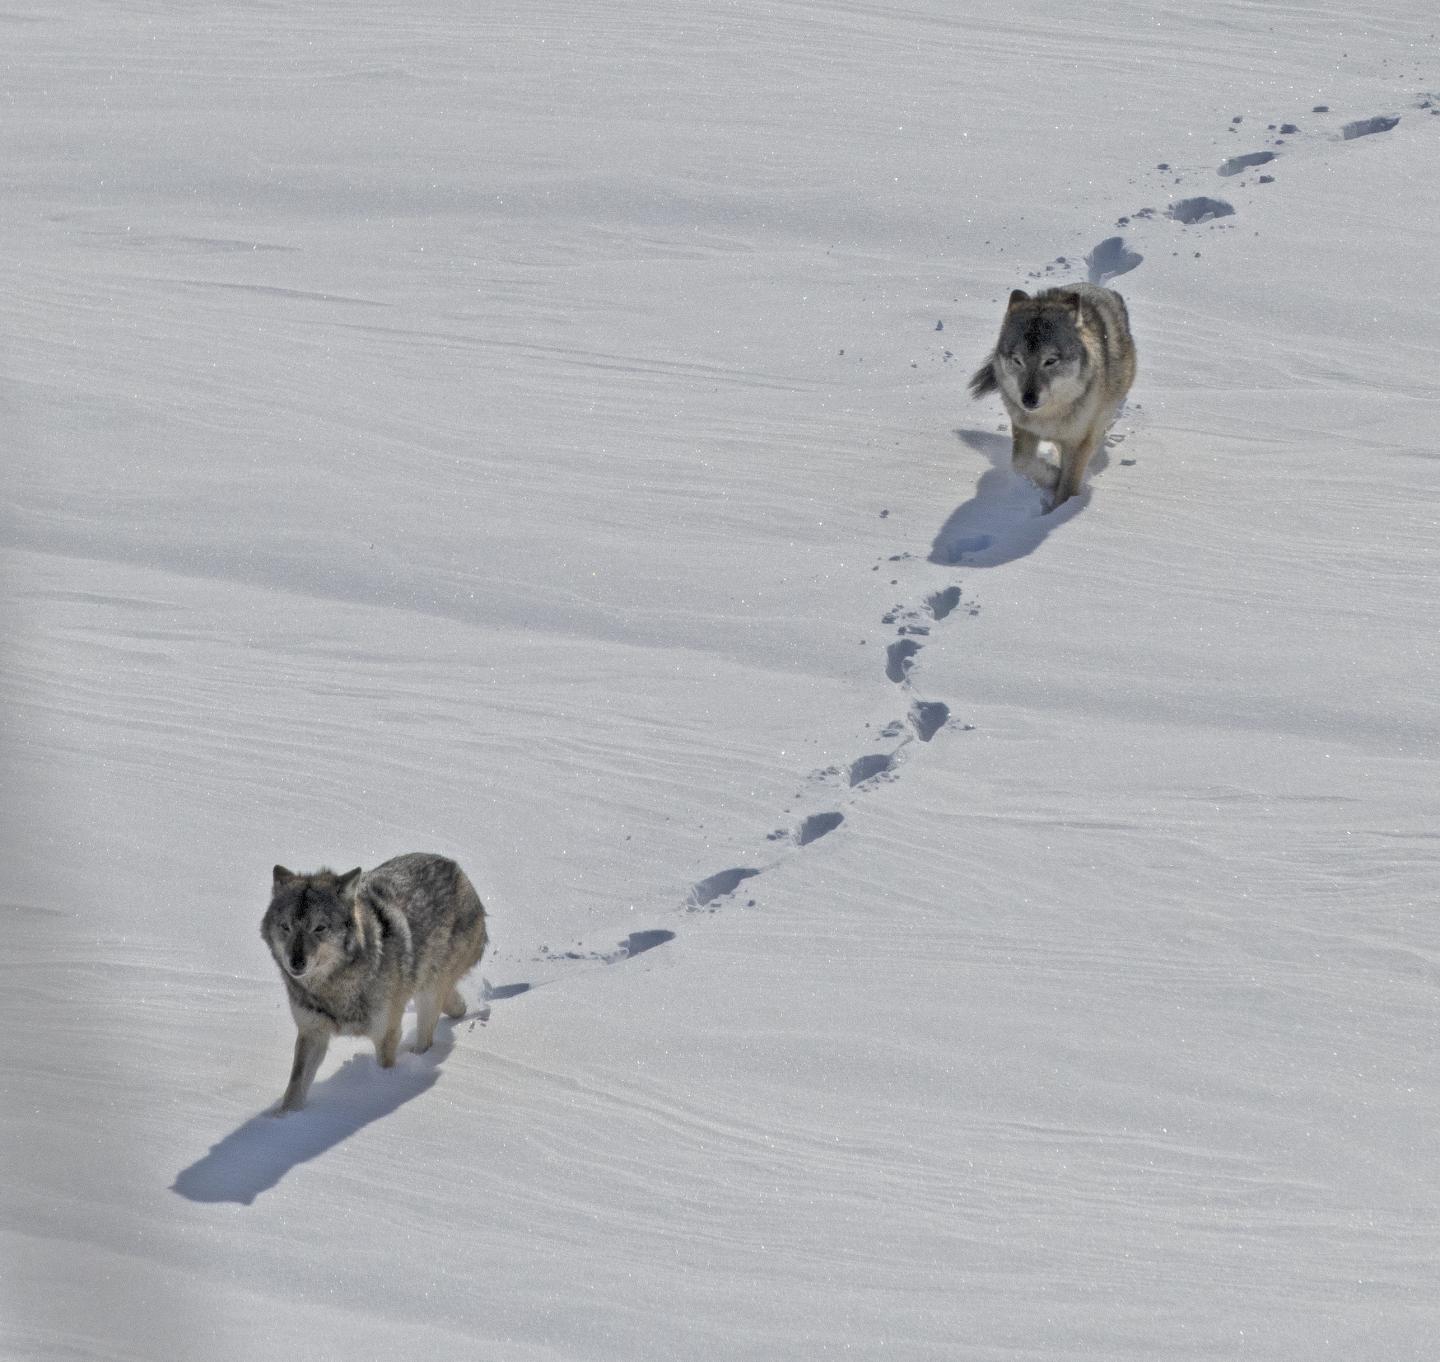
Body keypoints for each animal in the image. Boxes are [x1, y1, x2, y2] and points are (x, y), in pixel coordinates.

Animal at [261, 852, 488, 1113]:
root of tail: (455, 867)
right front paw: (282, 1119)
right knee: (452, 1002)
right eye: (285, 927)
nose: (296, 962)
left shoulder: (386, 1034)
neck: (334, 990)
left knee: (427, 1038)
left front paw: (379, 1091)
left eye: (319, 928)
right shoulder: (312, 1034)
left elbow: (384, 1069)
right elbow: (294, 1089)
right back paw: (461, 1008)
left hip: (428, 996)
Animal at [969, 283, 1136, 506]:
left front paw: (1060, 507)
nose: (1028, 399)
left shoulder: (1078, 441)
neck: (1048, 416)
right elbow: (1021, 463)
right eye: (1017, 360)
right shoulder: (1024, 429)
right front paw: (1054, 477)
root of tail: (1100, 288)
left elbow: (1067, 488)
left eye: (1050, 361)